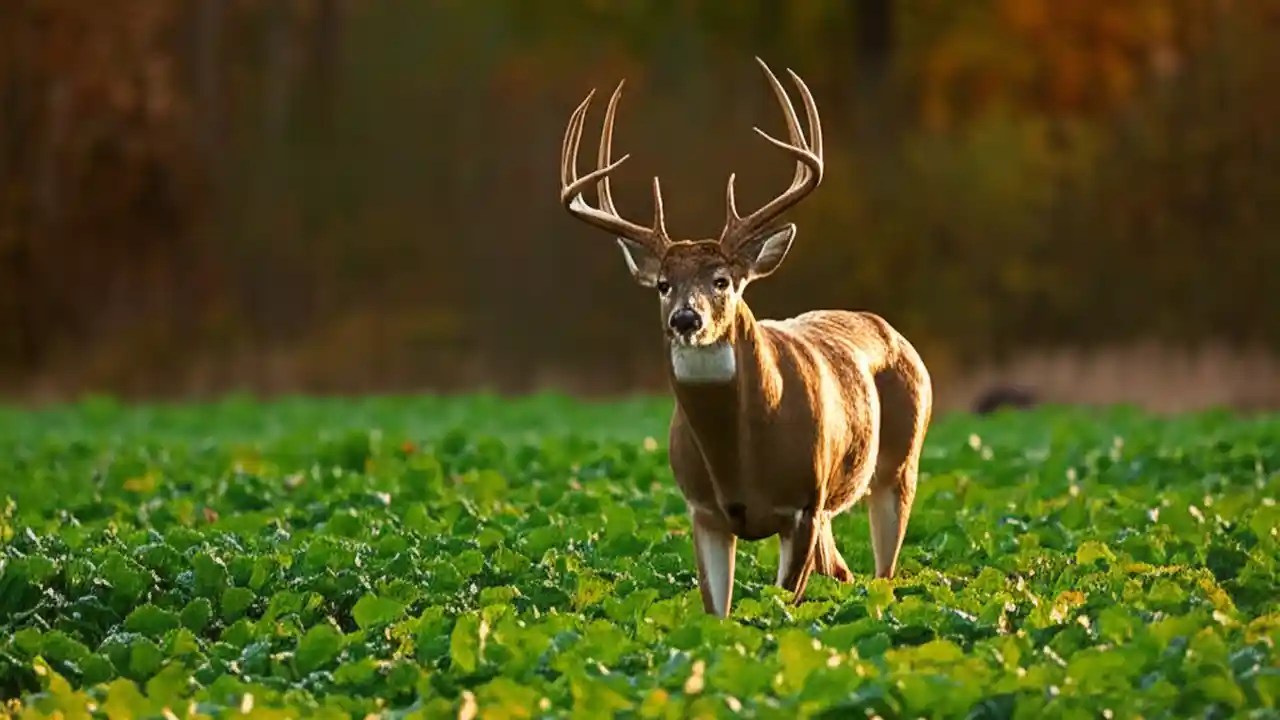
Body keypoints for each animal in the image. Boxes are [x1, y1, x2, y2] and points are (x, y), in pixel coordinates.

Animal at [557, 58, 933, 618]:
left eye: (723, 280)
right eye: (663, 285)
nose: (685, 320)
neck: (741, 461)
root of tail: (892, 333)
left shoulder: (802, 505)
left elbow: (780, 606)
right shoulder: (703, 511)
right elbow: (719, 614)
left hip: (898, 465)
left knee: (882, 573)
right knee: (842, 572)